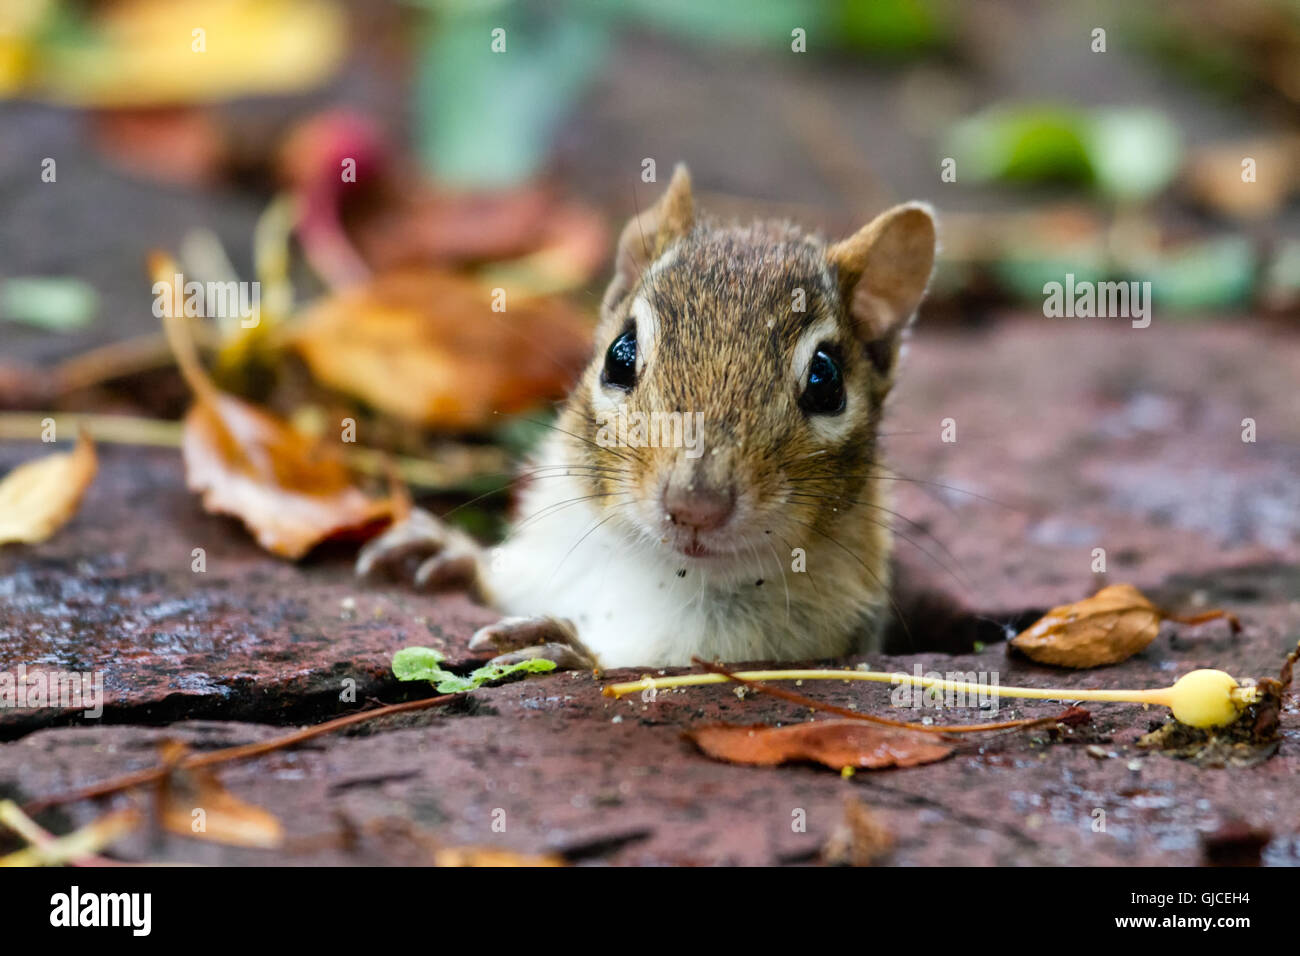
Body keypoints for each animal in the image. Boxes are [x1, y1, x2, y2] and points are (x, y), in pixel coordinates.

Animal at [357, 164, 937, 670]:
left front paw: (564, 646)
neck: (653, 567)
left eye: (827, 382)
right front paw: (447, 550)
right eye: (620, 353)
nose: (695, 506)